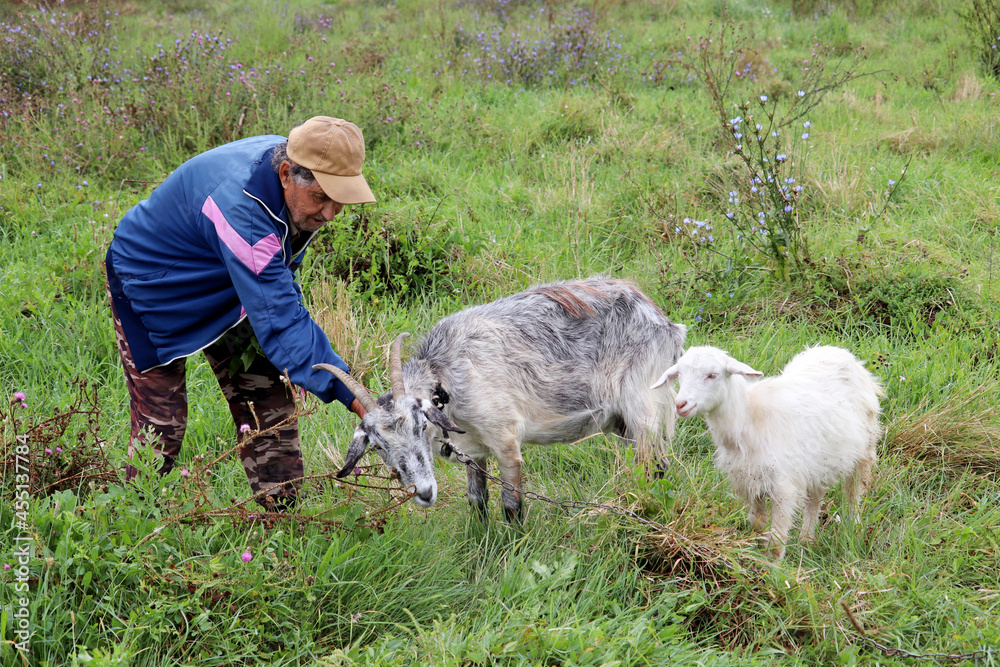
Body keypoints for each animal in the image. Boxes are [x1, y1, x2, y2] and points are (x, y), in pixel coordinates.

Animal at [316, 277, 687, 522]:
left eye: (421, 426)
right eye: (379, 445)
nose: (424, 493)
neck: (445, 378)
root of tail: (666, 323)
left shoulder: (505, 440)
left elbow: (511, 505)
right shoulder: (475, 450)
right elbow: (476, 500)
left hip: (643, 409)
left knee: (654, 467)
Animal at [651, 345, 882, 560]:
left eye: (712, 375)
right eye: (679, 374)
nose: (681, 404)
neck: (748, 417)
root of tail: (839, 352)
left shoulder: (783, 486)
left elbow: (777, 538)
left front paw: (773, 569)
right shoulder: (749, 479)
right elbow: (757, 522)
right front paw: (759, 552)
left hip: (865, 447)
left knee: (854, 493)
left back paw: (853, 531)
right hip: (818, 460)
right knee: (815, 496)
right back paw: (806, 539)